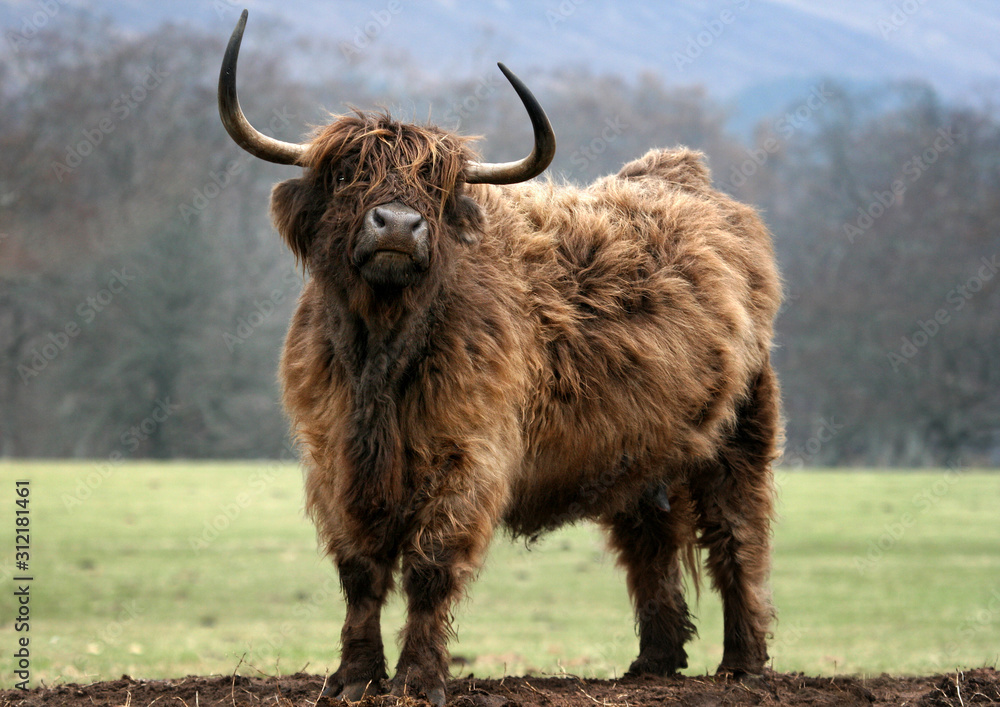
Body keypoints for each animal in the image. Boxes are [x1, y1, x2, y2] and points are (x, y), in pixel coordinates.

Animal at [219, 10, 782, 706]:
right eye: (347, 175)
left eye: (436, 187)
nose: (397, 225)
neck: (381, 355)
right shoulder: (334, 461)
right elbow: (359, 570)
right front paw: (354, 676)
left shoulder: (469, 456)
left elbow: (430, 568)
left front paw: (419, 679)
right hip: (639, 448)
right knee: (649, 543)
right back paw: (652, 663)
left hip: (741, 432)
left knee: (738, 539)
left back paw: (743, 666)